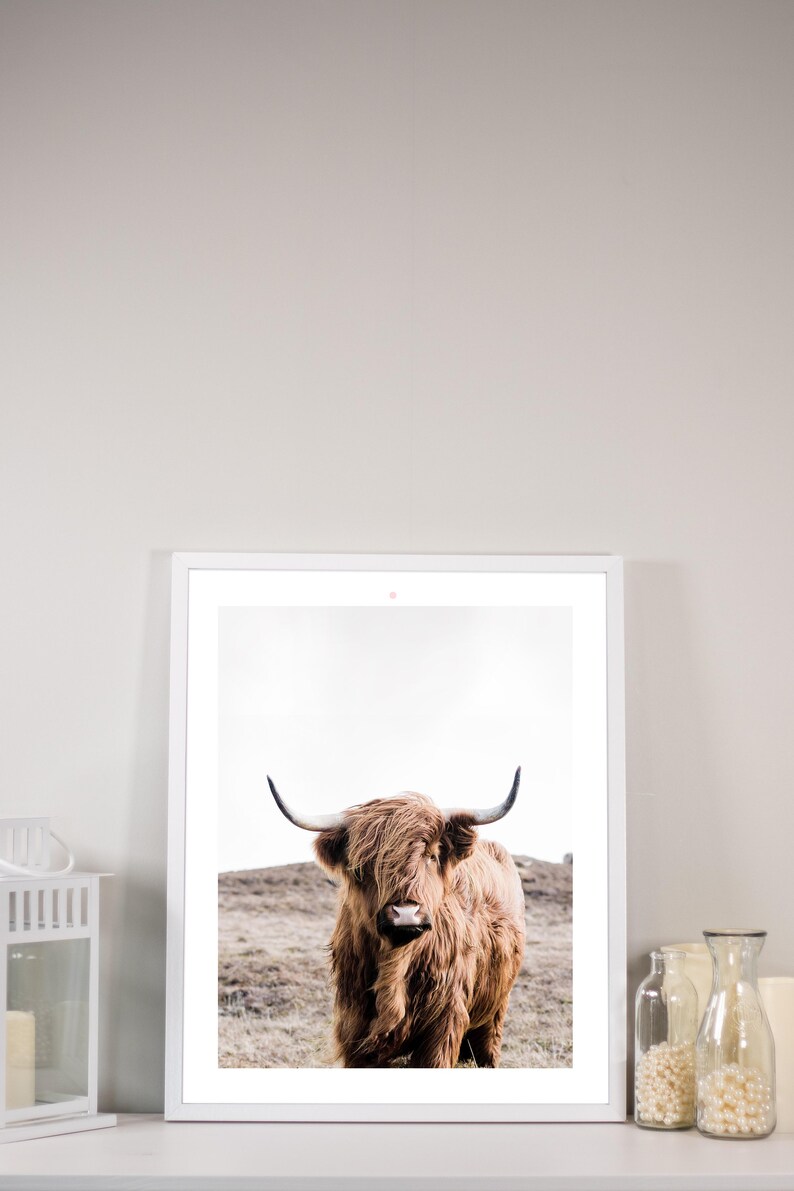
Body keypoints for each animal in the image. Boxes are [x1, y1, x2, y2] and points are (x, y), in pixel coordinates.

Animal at [267, 767, 525, 1068]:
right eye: (361, 866)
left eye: (432, 856)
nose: (405, 914)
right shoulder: (354, 1029)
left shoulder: (443, 1025)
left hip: (495, 1011)